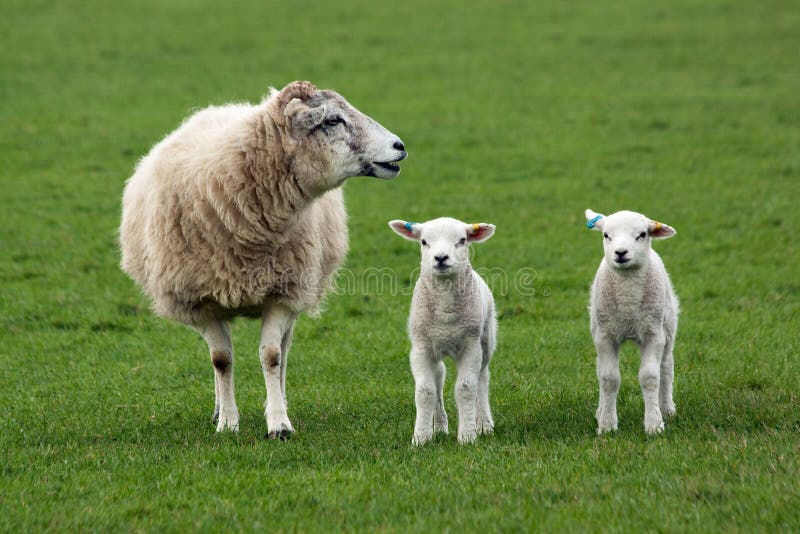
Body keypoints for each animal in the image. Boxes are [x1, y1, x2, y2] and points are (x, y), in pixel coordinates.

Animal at [120, 80, 407, 438]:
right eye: (332, 120)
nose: (399, 146)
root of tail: (224, 109)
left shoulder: (283, 293)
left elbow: (271, 356)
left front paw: (279, 422)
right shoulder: (201, 301)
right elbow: (221, 359)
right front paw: (228, 423)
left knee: (283, 350)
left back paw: (277, 400)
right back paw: (219, 409)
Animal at [389, 217, 497, 445]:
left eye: (462, 240)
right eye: (423, 241)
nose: (440, 258)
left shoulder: (470, 345)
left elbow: (466, 389)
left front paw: (467, 436)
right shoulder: (421, 348)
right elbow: (425, 391)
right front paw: (421, 438)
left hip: (486, 339)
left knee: (482, 378)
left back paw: (484, 423)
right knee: (439, 377)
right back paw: (439, 427)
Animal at [584, 209, 679, 435]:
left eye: (642, 234)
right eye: (606, 235)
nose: (620, 252)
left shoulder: (653, 334)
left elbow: (650, 377)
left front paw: (654, 424)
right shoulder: (605, 336)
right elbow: (608, 378)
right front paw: (607, 425)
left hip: (667, 326)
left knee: (666, 367)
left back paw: (667, 409)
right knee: (600, 369)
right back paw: (600, 411)